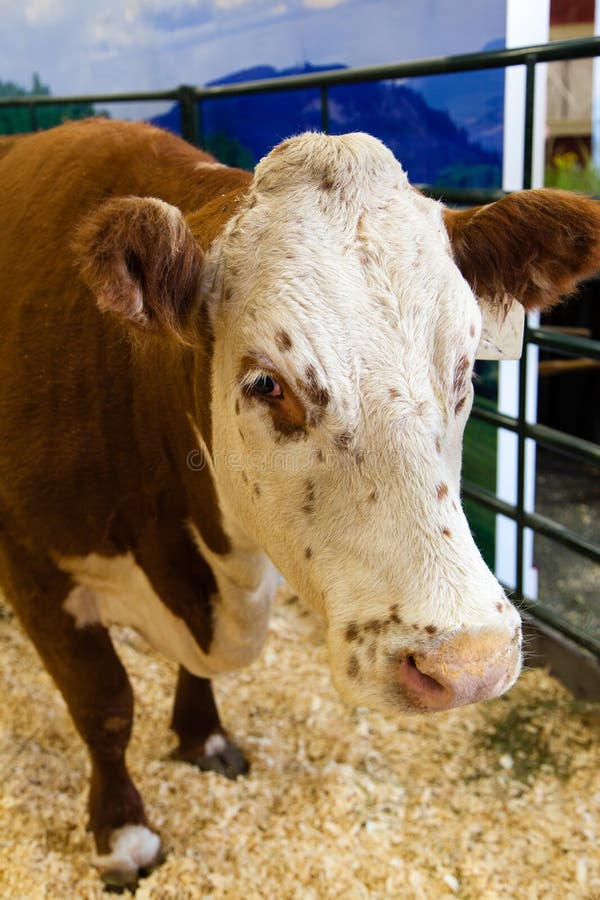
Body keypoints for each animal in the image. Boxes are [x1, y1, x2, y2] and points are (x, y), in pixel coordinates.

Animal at [1, 118, 599, 887]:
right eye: (267, 384)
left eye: (466, 369)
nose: (469, 663)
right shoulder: (35, 563)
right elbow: (104, 705)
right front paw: (123, 835)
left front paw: (202, 736)